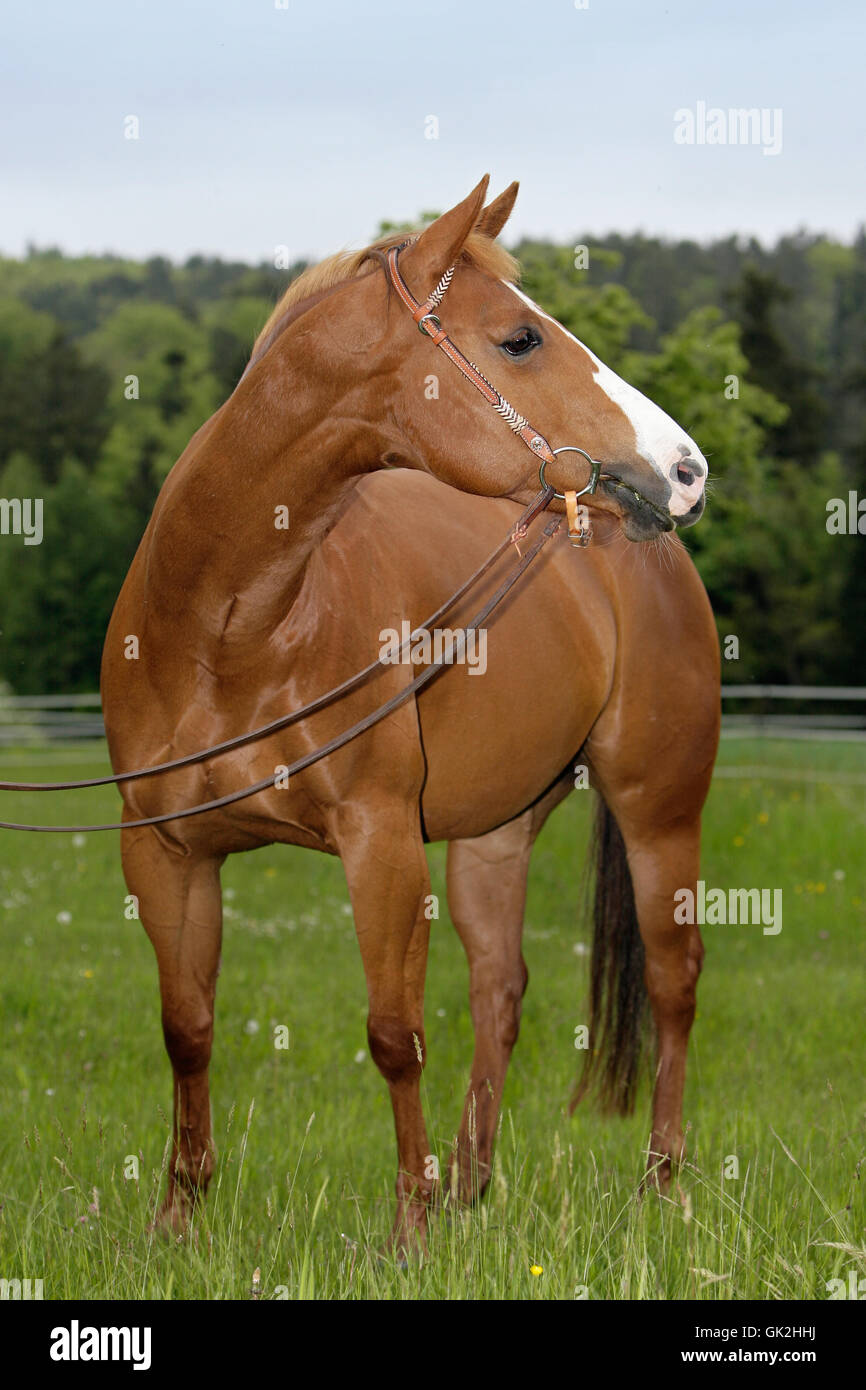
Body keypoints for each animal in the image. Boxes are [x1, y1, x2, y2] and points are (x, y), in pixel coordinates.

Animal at [99, 177, 720, 1253]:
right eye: (520, 338)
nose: (684, 469)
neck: (231, 631)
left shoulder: (379, 841)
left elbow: (393, 1035)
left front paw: (408, 1232)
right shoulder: (165, 850)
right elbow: (187, 1027)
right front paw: (178, 1216)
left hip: (657, 812)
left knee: (673, 981)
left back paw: (661, 1186)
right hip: (495, 830)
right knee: (500, 989)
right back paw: (473, 1184)